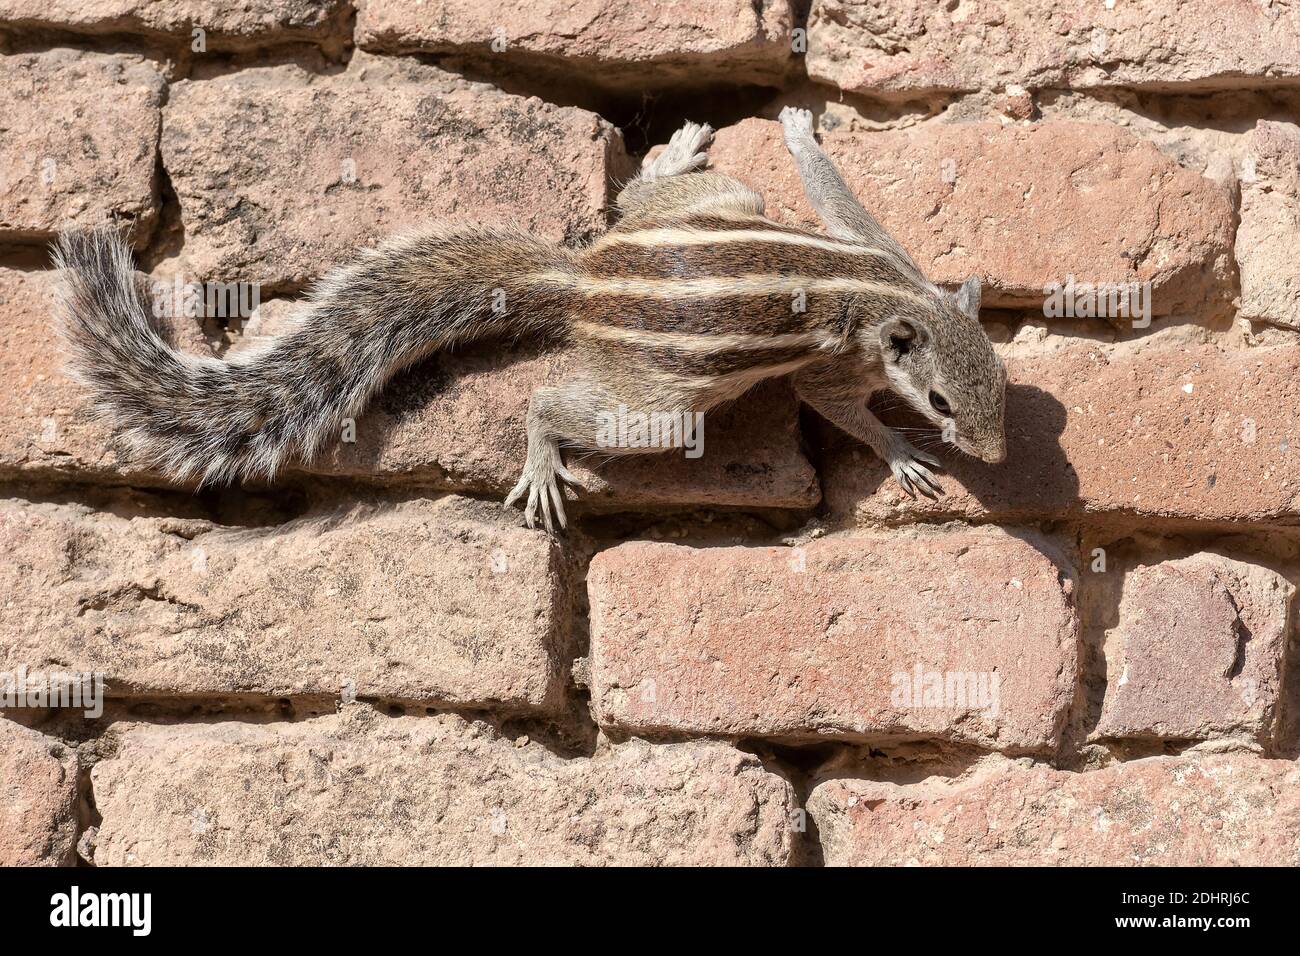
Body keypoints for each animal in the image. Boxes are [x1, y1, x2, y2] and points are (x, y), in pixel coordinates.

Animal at [53, 107, 1006, 532]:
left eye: (1000, 380)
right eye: (943, 402)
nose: (997, 458)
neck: (898, 298)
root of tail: (583, 279)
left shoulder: (877, 247)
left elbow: (835, 198)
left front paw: (804, 134)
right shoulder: (836, 354)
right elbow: (832, 402)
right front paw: (900, 450)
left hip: (728, 203)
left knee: (640, 195)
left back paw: (674, 153)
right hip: (663, 411)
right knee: (552, 402)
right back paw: (545, 459)